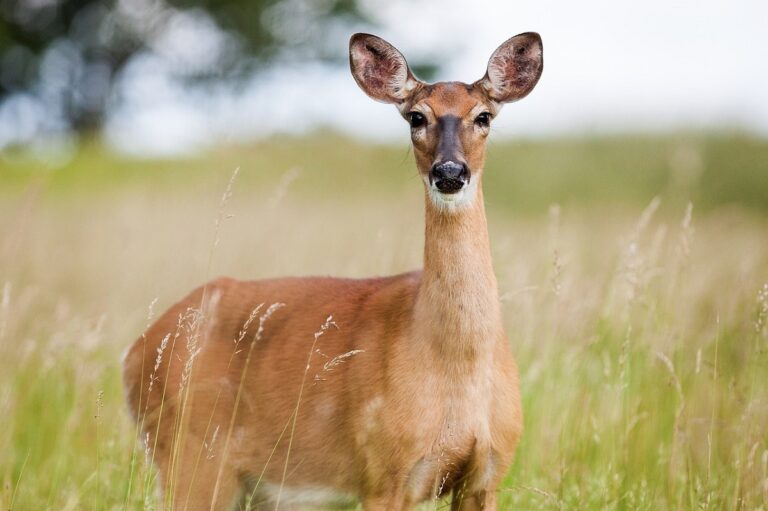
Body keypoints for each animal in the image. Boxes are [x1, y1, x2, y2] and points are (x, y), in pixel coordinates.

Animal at [123, 31, 543, 511]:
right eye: (416, 117)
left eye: (483, 116)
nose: (450, 172)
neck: (457, 366)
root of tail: (134, 352)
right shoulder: (384, 472)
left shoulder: (488, 473)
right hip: (190, 456)